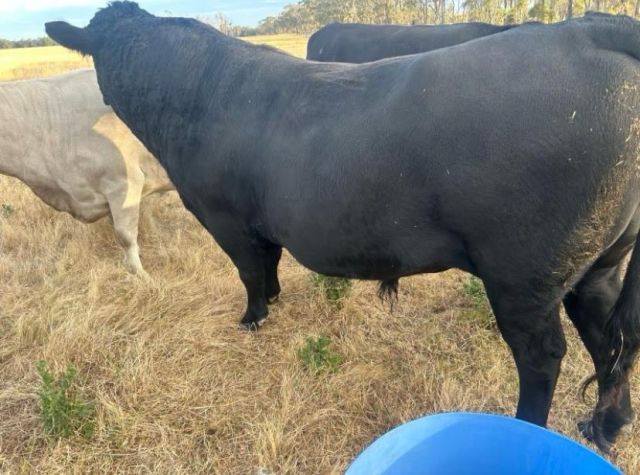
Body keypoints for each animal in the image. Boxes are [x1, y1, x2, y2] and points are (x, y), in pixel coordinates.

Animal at [46, 5, 640, 454]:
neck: (199, 94)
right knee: (610, 338)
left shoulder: (223, 217)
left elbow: (249, 271)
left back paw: (528, 431)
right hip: (600, 264)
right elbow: (269, 262)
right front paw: (275, 301)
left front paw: (253, 318)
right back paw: (604, 426)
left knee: (544, 357)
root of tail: (584, 30)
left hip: (522, 276)